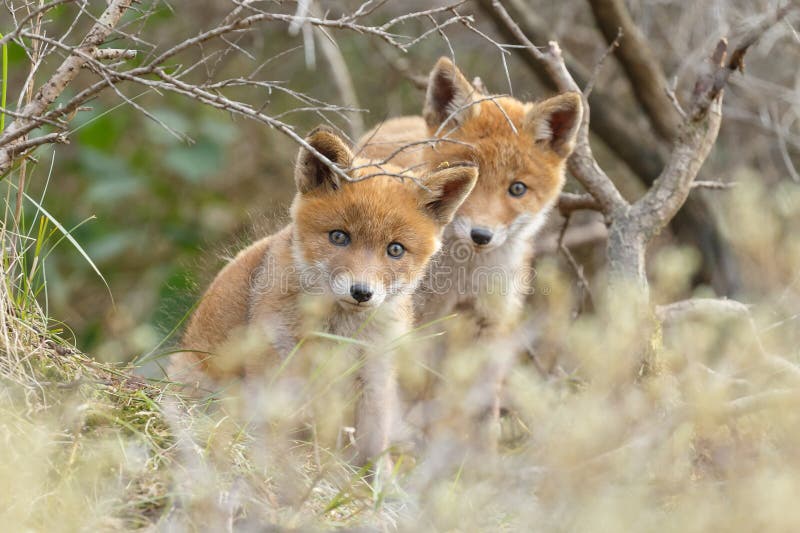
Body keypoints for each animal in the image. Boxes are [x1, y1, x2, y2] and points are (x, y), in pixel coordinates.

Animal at [168, 126, 478, 468]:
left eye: (395, 249)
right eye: (339, 236)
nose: (361, 292)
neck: (340, 332)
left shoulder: (376, 372)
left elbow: (374, 450)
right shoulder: (277, 358)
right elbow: (278, 429)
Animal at [357, 58, 583, 436]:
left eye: (517, 189)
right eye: (469, 178)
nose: (481, 235)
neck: (461, 275)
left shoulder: (489, 320)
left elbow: (479, 410)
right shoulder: (410, 318)